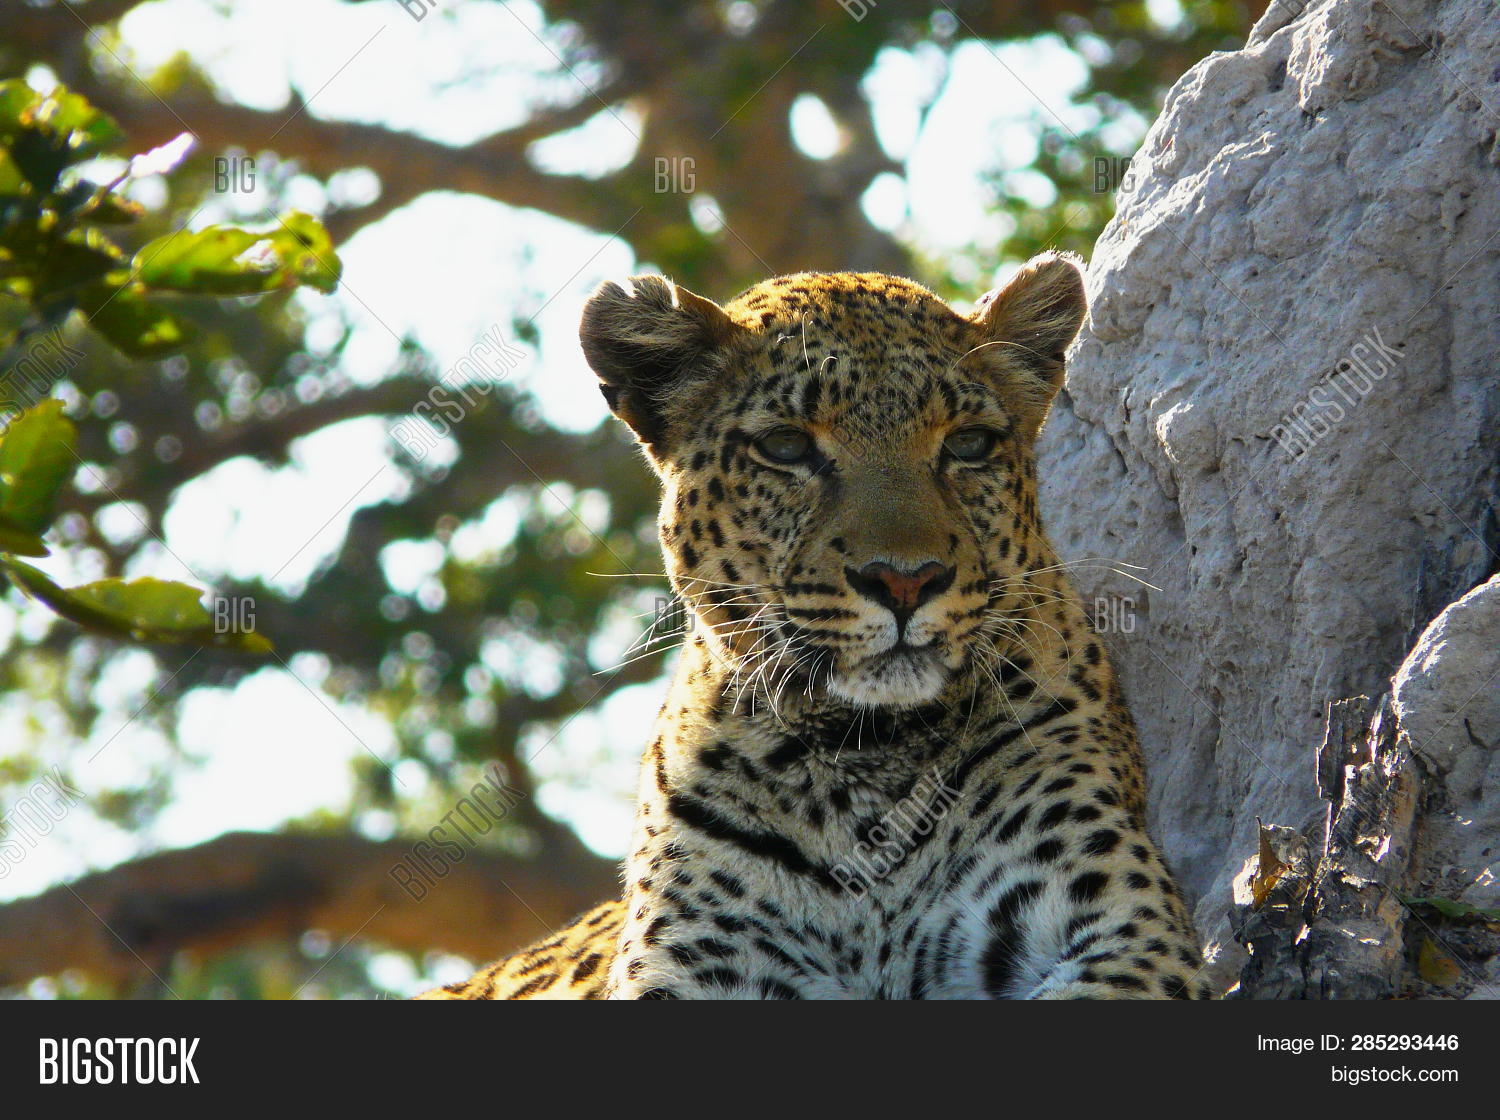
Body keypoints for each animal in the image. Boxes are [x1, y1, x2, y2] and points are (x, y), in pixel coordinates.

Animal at [418, 251, 1211, 999]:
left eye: (969, 445)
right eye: (787, 447)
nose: (906, 580)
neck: (866, 761)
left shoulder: (1123, 935)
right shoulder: (693, 971)